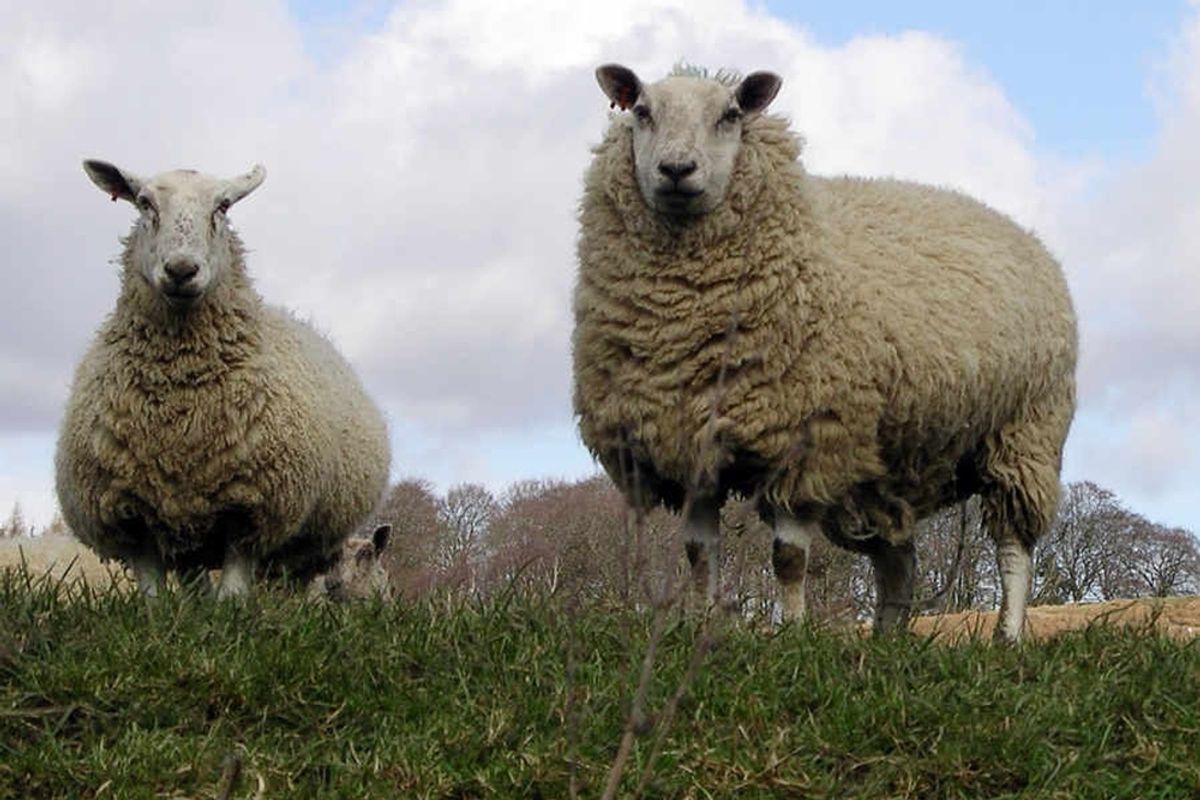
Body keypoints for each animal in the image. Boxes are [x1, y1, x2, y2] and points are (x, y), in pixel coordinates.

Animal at [56, 160, 391, 599]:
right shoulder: (129, 512)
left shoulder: (253, 505)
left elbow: (232, 591)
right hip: (183, 531)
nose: (182, 270)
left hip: (311, 544)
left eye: (223, 206)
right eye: (144, 202)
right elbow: (151, 595)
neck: (181, 406)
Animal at [572, 64, 1077, 641]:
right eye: (642, 111)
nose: (677, 169)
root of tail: (1023, 233)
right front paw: (702, 629)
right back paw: (886, 641)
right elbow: (699, 553)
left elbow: (788, 557)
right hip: (887, 467)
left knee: (1013, 548)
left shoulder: (804, 439)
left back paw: (1007, 636)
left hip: (1024, 434)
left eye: (730, 114)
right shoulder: (689, 445)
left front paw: (790, 635)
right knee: (898, 562)